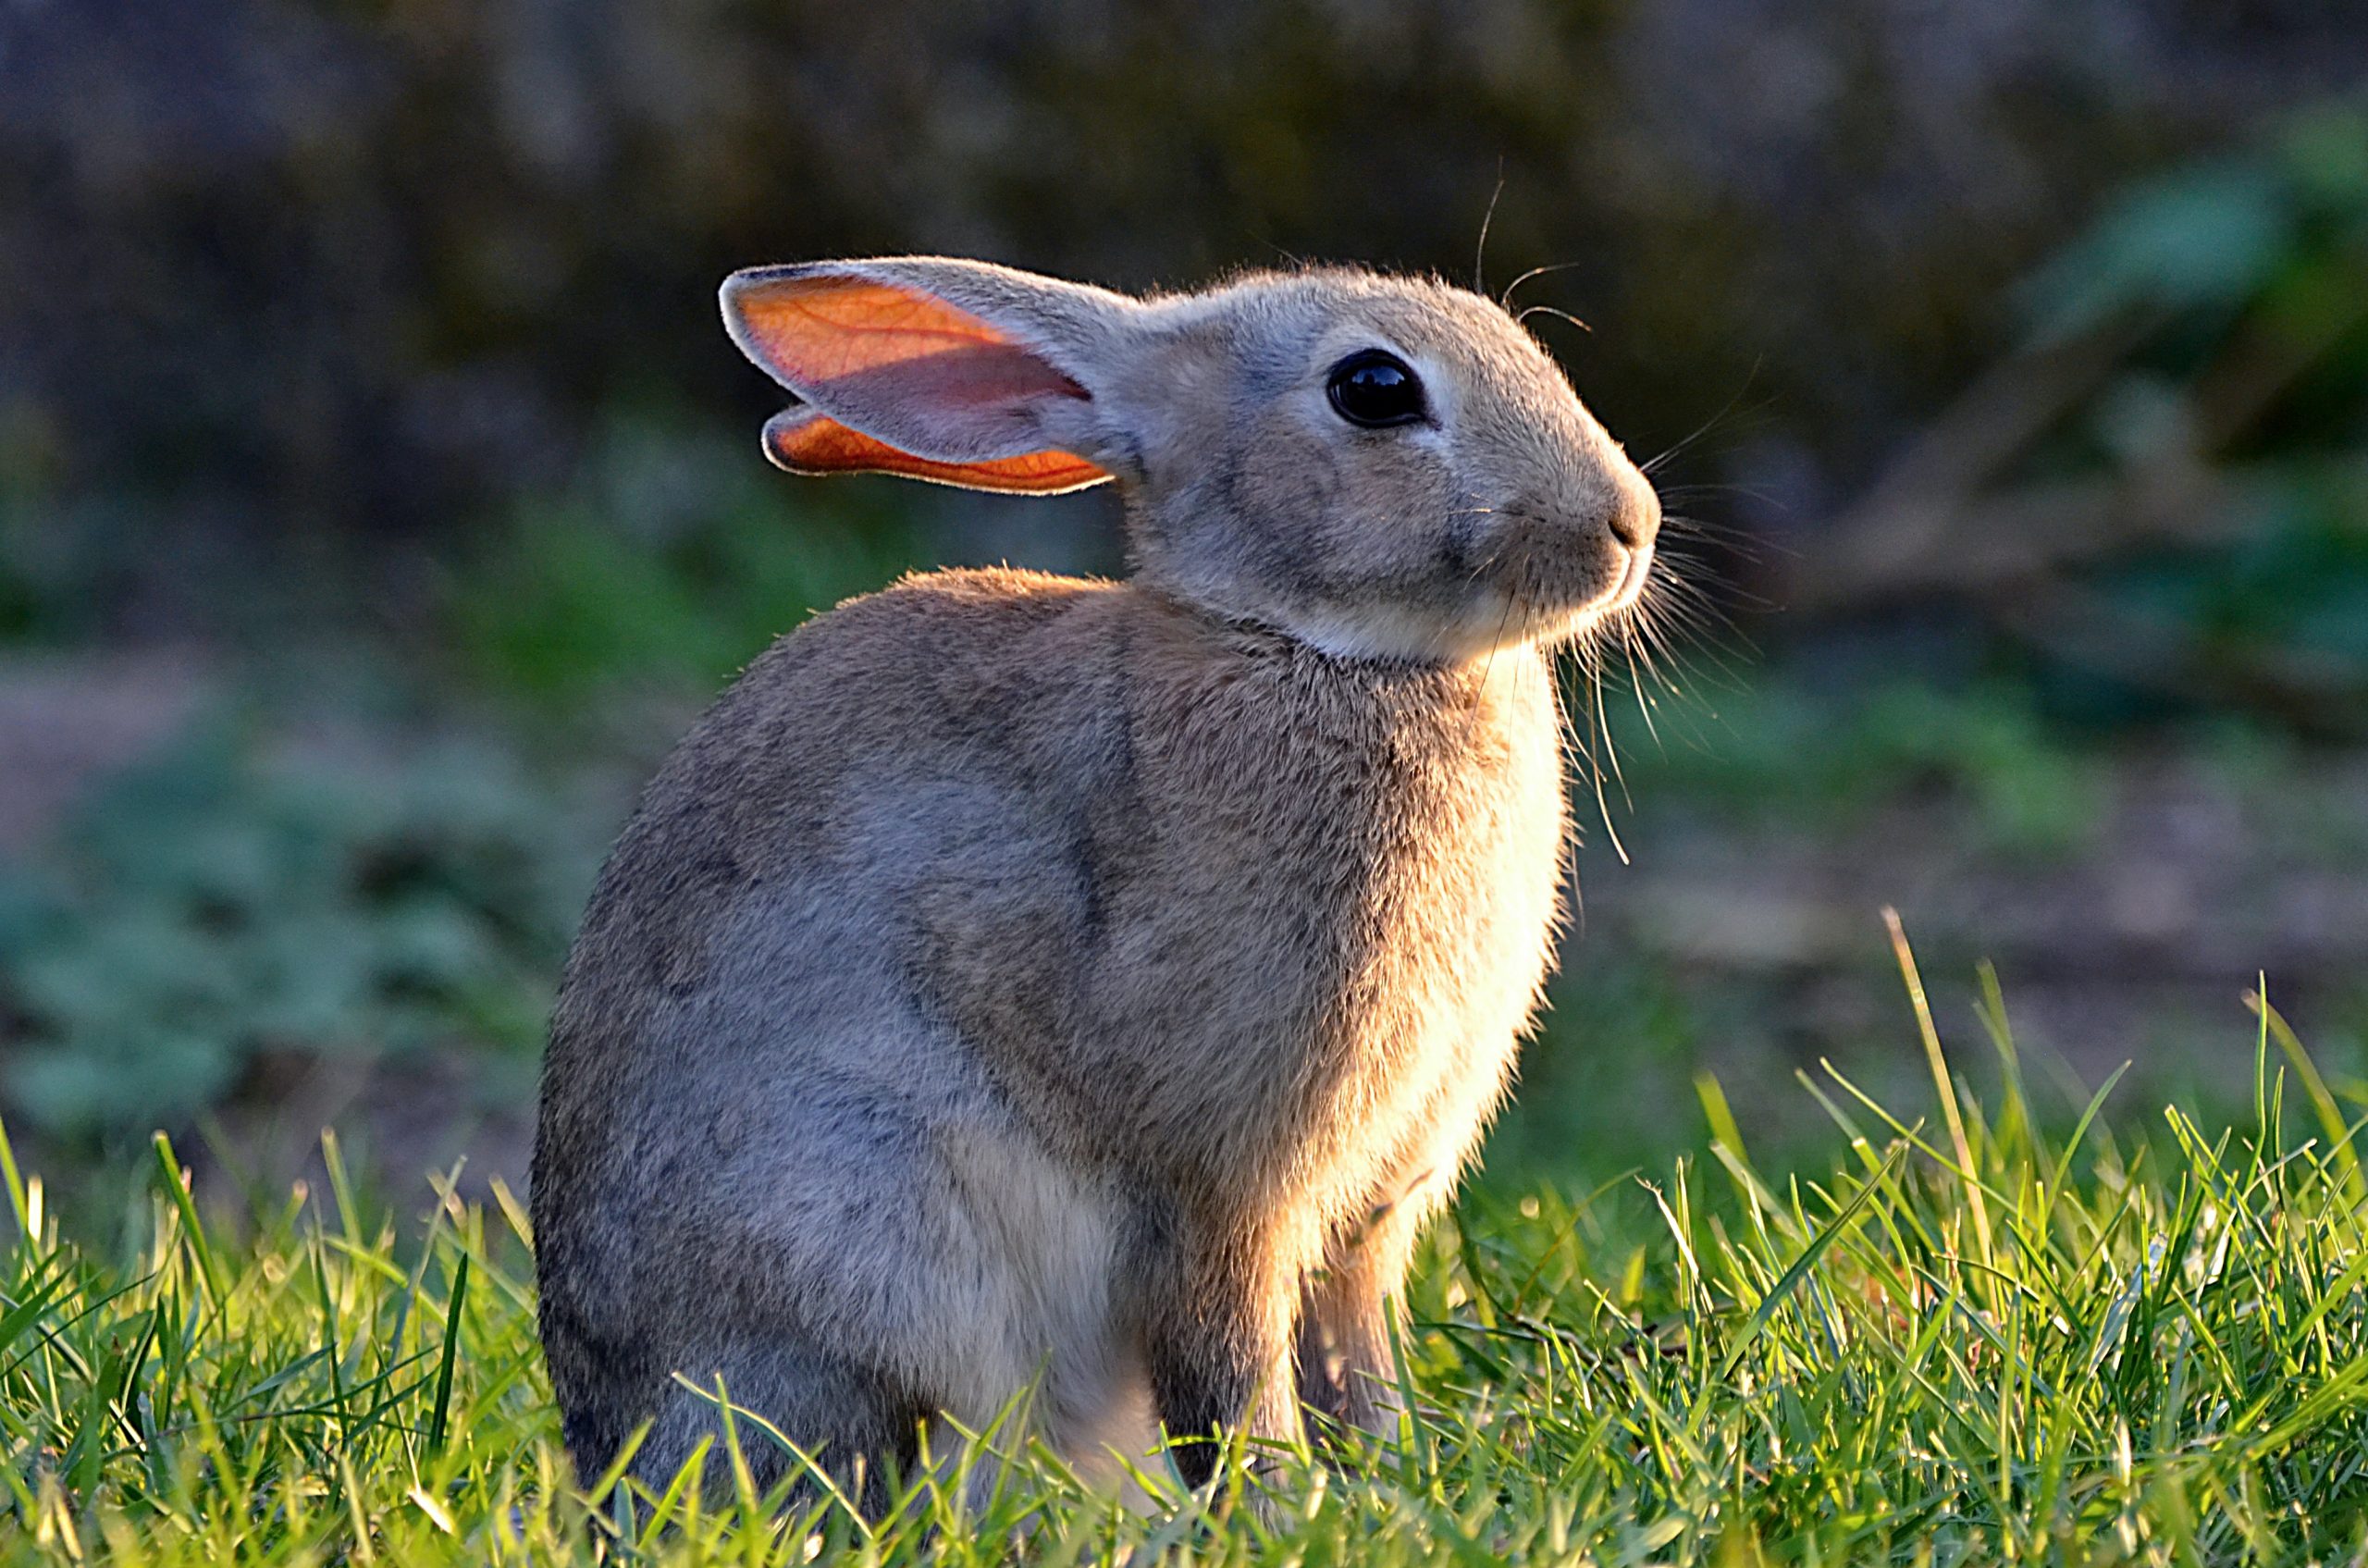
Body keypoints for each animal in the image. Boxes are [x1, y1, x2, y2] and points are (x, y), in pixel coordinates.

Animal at [531, 255, 1661, 1505]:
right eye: (1373, 390)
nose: (1628, 525)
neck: (1319, 650)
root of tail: (618, 1460)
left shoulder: (1367, 1210)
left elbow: (1354, 1358)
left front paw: (1389, 1480)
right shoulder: (1218, 1190)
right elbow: (1229, 1369)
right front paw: (1283, 1506)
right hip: (862, 1230)